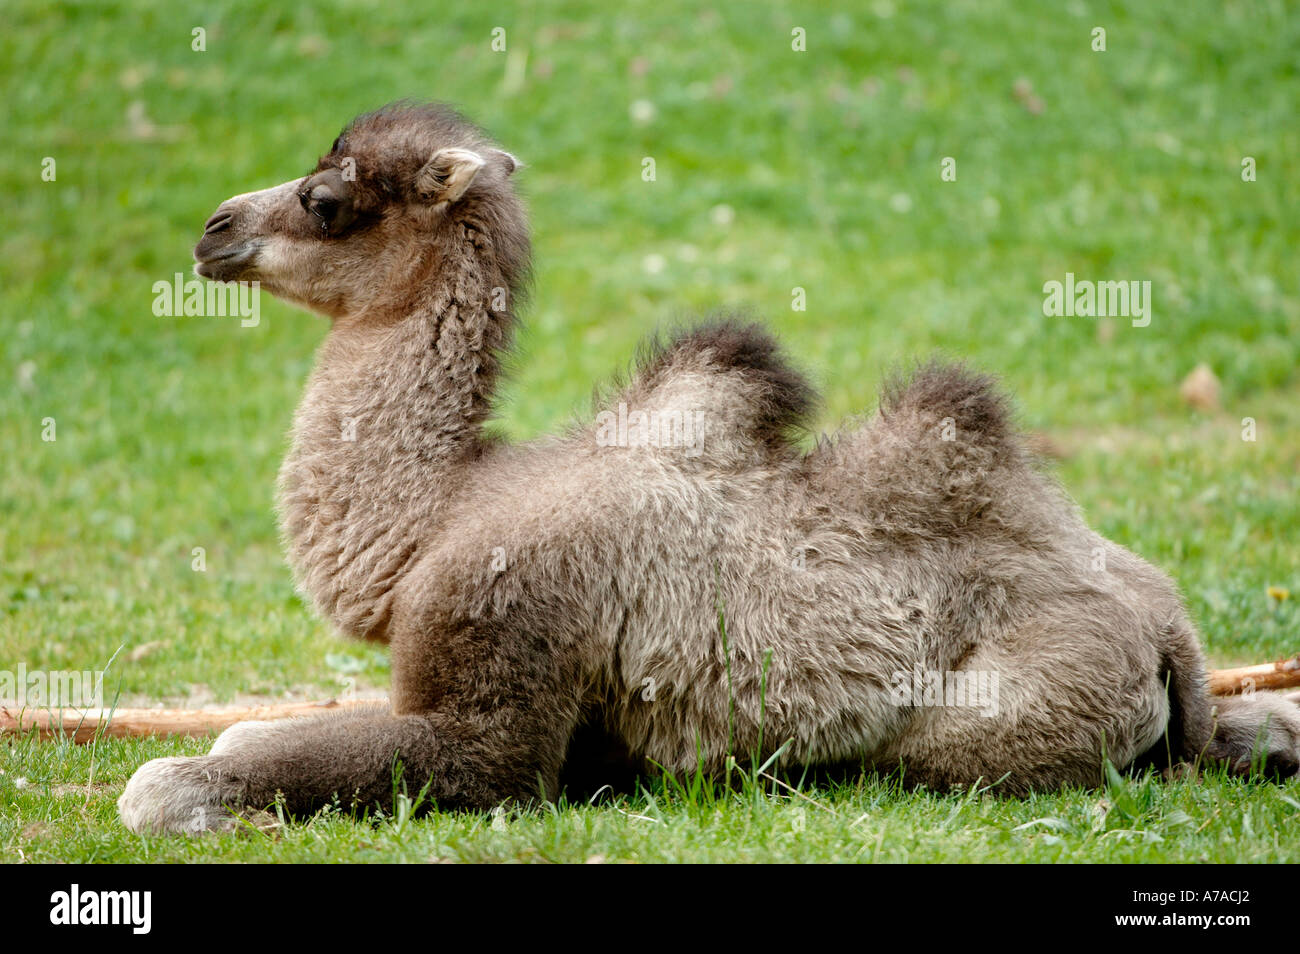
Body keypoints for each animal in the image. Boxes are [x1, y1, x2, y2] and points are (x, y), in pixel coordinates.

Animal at [119, 102, 1300, 833]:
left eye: (329, 200)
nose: (213, 229)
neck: (438, 519)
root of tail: (1165, 627)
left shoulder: (501, 664)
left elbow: (252, 761)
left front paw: (185, 789)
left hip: (1002, 705)